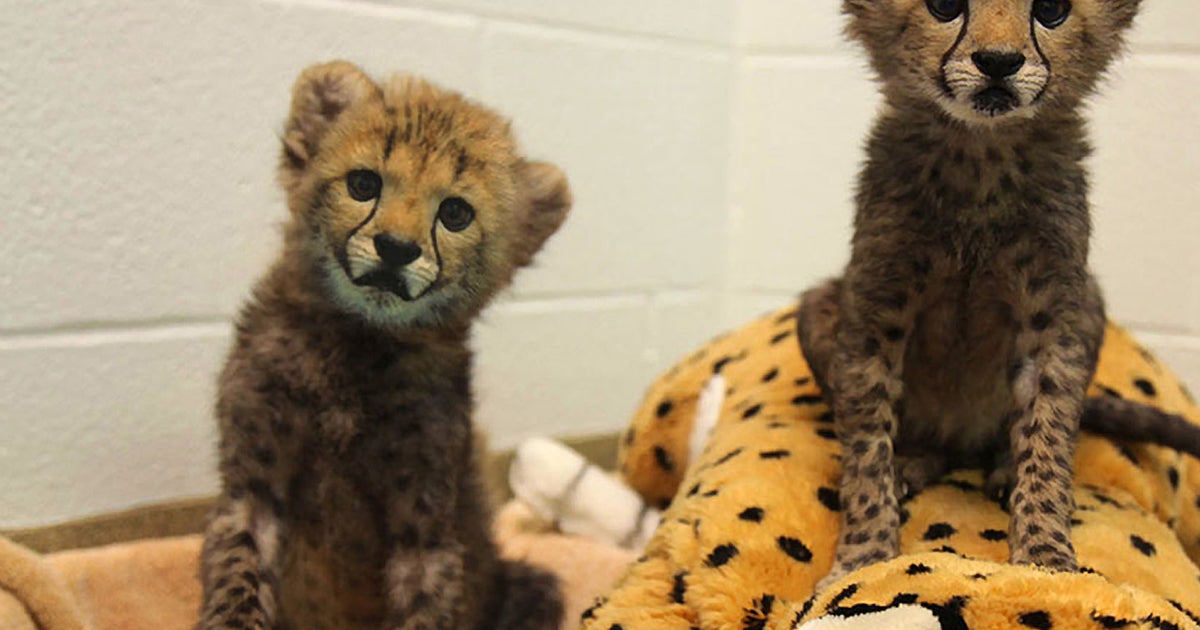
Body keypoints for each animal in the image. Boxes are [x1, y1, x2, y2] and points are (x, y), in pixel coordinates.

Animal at [197, 61, 571, 630]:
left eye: (455, 213)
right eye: (363, 184)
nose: (395, 248)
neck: (356, 342)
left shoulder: (425, 524)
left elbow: (425, 599)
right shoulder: (251, 488)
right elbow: (238, 575)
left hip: (530, 585)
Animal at [792, 0, 1155, 590]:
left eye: (1051, 12)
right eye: (945, 8)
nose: (999, 62)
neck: (982, 154)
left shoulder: (1055, 319)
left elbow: (1048, 435)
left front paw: (1047, 560)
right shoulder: (872, 313)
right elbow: (866, 448)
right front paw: (864, 557)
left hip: (1093, 306)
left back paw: (1001, 466)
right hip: (817, 308)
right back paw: (914, 461)